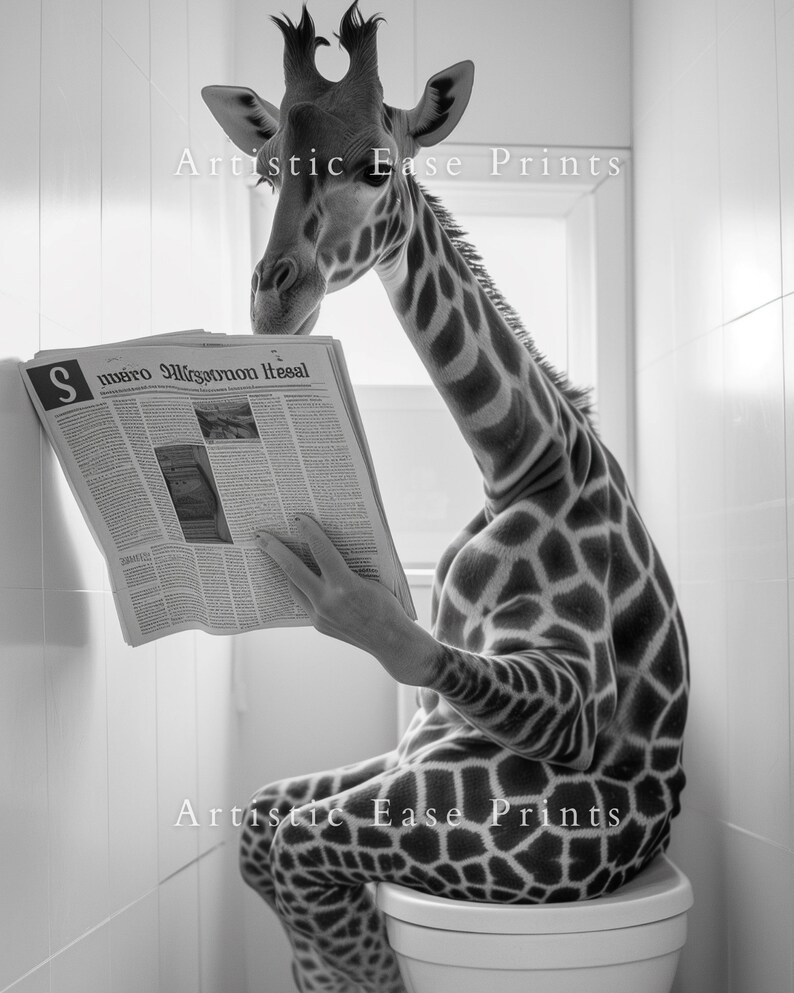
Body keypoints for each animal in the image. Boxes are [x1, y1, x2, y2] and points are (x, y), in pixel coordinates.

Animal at [202, 6, 688, 992]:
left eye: (376, 166)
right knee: (267, 824)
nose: (274, 304)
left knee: (295, 847)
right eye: (266, 169)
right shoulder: (426, 727)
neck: (524, 460)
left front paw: (364, 613)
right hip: (400, 765)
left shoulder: (568, 698)